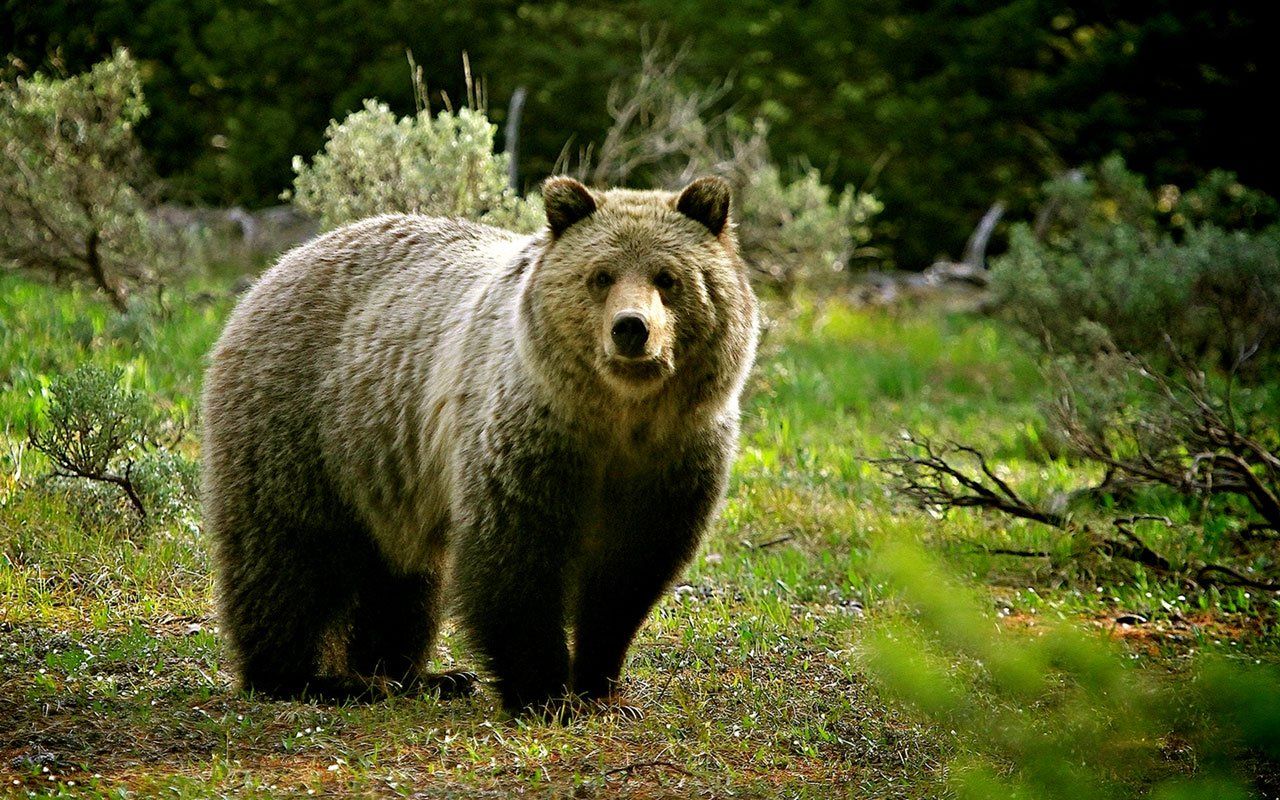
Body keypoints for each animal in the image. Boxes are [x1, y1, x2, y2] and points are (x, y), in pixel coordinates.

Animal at [201, 175, 759, 717]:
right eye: (601, 275)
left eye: (667, 277)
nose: (630, 329)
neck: (617, 418)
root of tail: (277, 268)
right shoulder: (527, 437)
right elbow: (514, 559)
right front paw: (544, 692)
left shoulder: (674, 457)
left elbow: (629, 575)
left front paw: (600, 687)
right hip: (304, 427)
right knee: (287, 555)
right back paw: (309, 679)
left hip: (385, 474)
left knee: (403, 580)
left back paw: (414, 676)